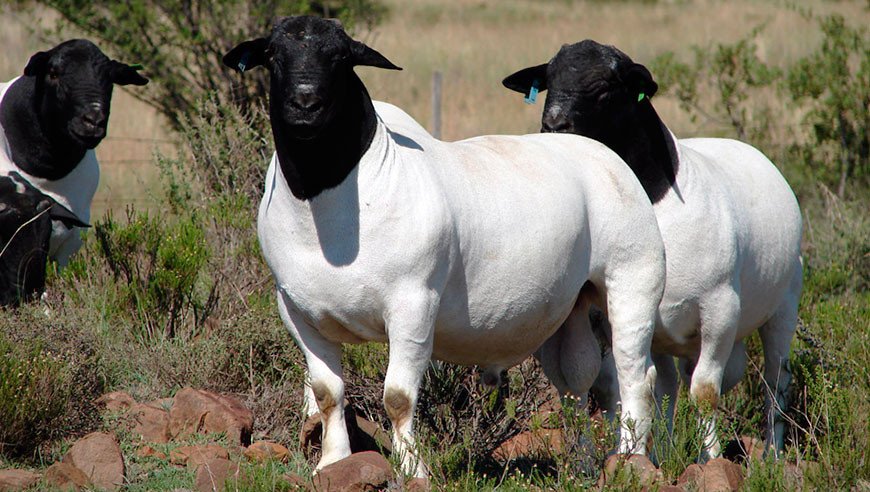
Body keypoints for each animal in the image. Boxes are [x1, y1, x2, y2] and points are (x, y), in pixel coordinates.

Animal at [223, 16, 667, 476]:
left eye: (342, 58)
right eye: (273, 56)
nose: (305, 104)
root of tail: (603, 154)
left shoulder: (413, 304)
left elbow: (398, 398)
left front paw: (413, 469)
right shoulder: (297, 312)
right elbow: (328, 393)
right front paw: (332, 463)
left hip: (633, 280)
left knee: (635, 377)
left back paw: (631, 459)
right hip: (568, 305)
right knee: (577, 381)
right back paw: (581, 463)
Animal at [503, 40, 803, 460]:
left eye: (604, 87)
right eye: (547, 81)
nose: (552, 126)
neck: (657, 199)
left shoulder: (721, 310)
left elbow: (705, 391)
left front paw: (711, 458)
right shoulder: (622, 314)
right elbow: (642, 387)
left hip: (783, 306)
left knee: (775, 381)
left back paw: (772, 454)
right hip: (669, 332)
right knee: (668, 386)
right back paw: (664, 450)